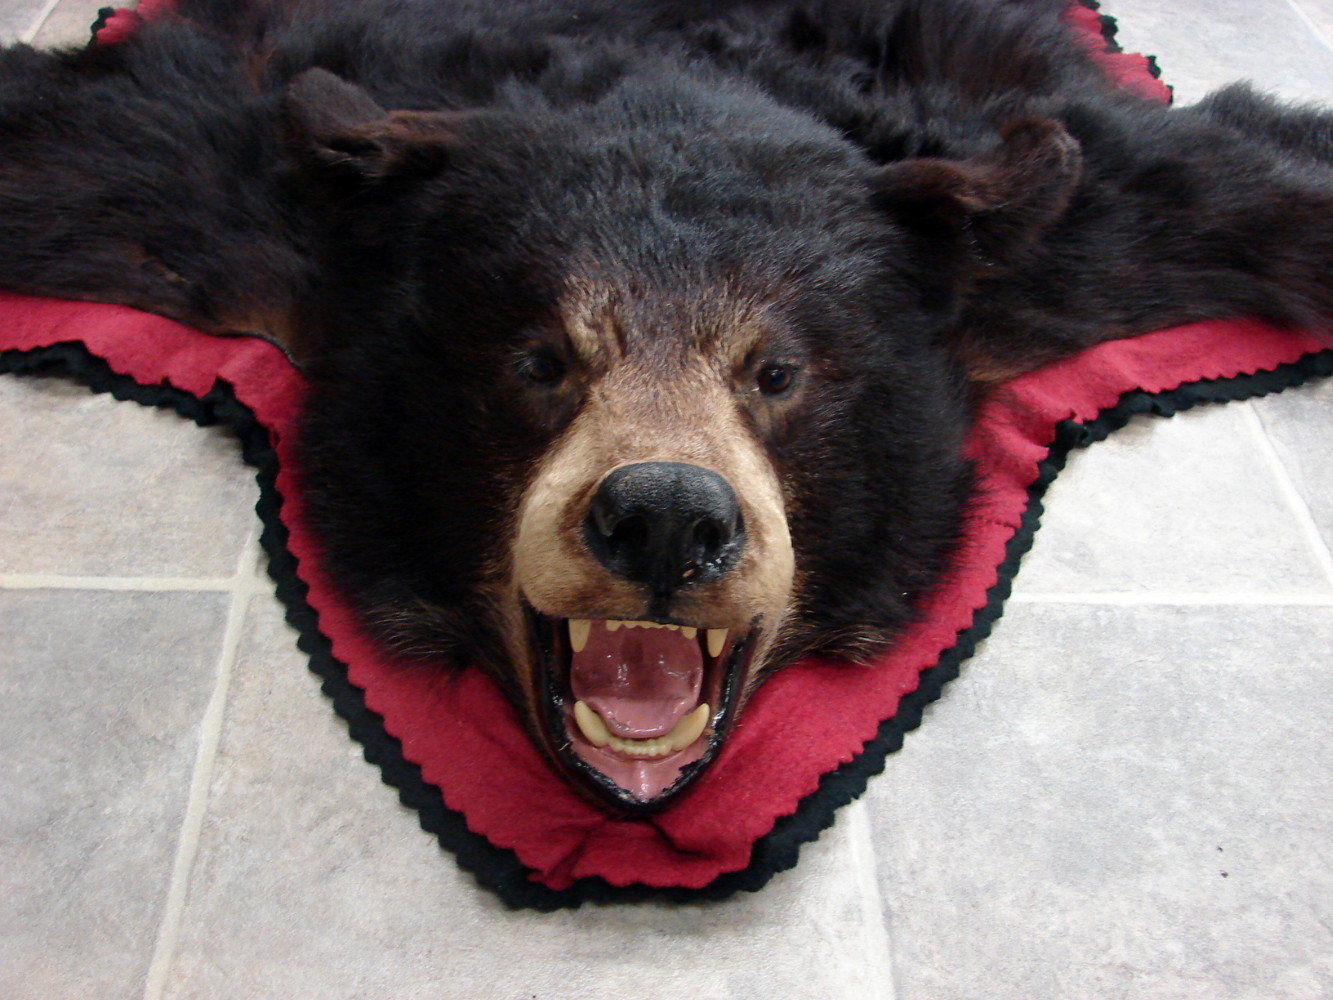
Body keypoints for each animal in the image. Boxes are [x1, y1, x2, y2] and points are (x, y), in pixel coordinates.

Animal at [0, 0, 1330, 810]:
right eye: (538, 359)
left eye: (777, 371)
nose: (665, 518)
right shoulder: (227, 197)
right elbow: (71, 144)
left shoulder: (1073, 233)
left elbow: (1244, 185)